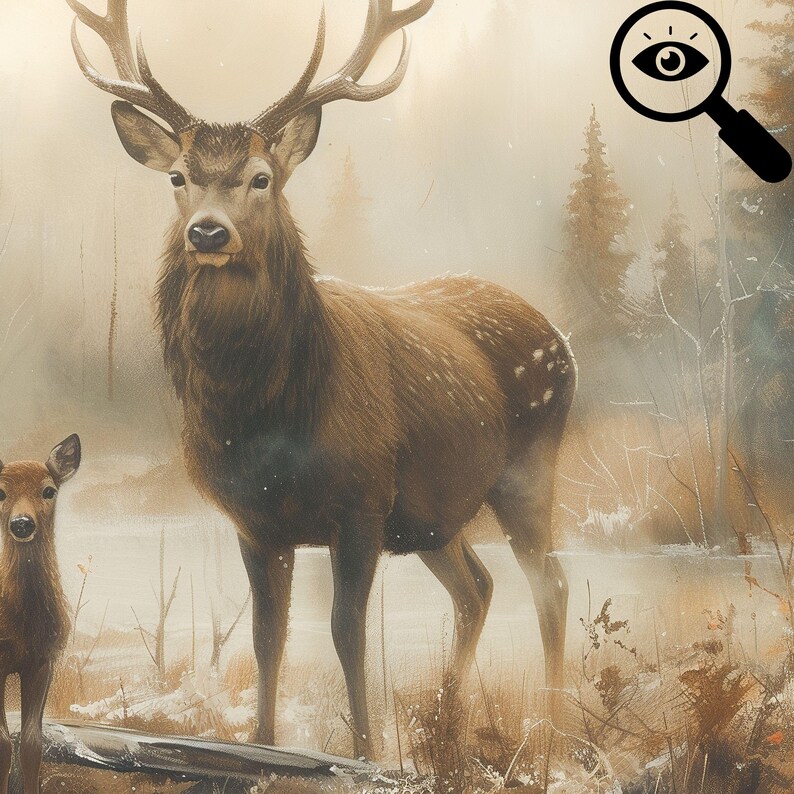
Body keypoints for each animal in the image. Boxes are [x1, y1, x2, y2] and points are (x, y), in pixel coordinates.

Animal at [66, 0, 576, 759]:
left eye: (260, 177)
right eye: (178, 176)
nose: (208, 233)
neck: (263, 422)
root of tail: (562, 339)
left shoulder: (361, 499)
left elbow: (346, 632)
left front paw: (365, 753)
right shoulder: (255, 520)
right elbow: (267, 637)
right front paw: (265, 741)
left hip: (528, 467)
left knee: (550, 585)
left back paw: (553, 733)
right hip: (434, 511)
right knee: (478, 587)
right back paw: (447, 723)